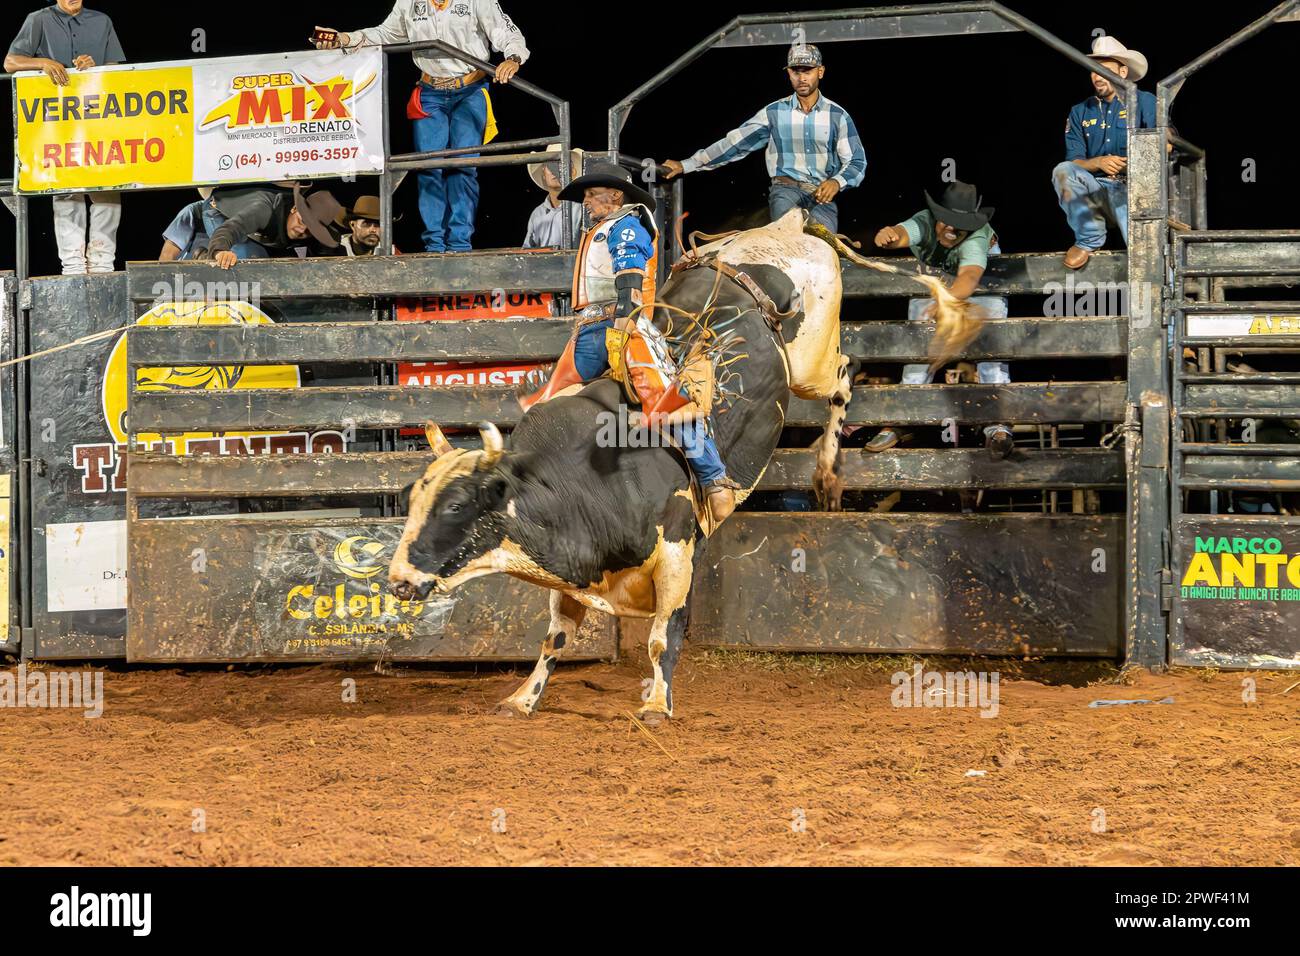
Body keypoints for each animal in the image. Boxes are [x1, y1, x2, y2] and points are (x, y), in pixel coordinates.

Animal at [388, 210, 972, 721]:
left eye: (457, 504)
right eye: (414, 501)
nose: (397, 582)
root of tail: (787, 225)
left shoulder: (676, 549)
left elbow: (659, 637)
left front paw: (655, 704)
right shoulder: (574, 567)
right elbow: (555, 638)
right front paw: (522, 699)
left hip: (813, 363)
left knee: (845, 377)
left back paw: (828, 474)